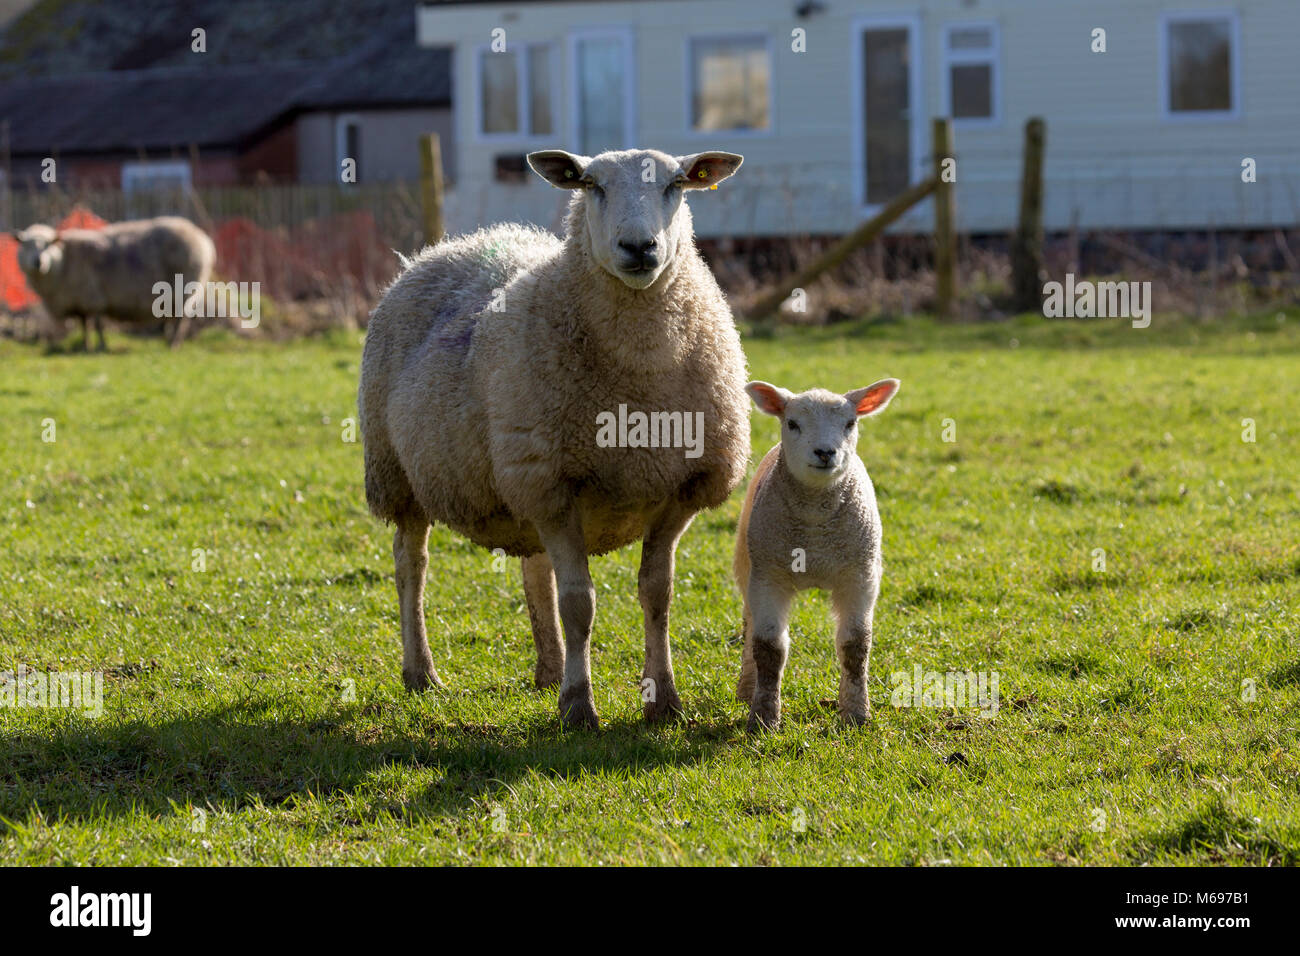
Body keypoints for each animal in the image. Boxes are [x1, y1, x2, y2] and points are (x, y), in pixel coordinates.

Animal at [11, 216, 216, 350]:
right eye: (26, 245)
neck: (63, 260)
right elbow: (84, 325)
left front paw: (100, 346)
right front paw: (86, 345)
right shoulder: (81, 302)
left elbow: (97, 325)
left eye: (48, 245)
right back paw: (168, 339)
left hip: (186, 288)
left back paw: (173, 343)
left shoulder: (93, 297)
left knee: (182, 319)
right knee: (172, 317)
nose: (38, 262)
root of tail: (202, 237)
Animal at [359, 147, 750, 728]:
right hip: (401, 474)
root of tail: (448, 247)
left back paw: (547, 667)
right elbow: (579, 604)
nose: (640, 247)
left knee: (535, 569)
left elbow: (656, 594)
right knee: (412, 565)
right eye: (591, 185)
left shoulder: (677, 490)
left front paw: (664, 699)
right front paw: (579, 705)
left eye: (677, 184)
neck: (638, 377)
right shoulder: (554, 484)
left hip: (522, 481)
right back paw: (421, 672)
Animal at [734, 377, 900, 730]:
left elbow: (855, 646)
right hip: (747, 563)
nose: (825, 452)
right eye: (792, 423)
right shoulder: (769, 576)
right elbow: (769, 648)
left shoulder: (860, 575)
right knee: (749, 624)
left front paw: (856, 714)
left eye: (850, 423)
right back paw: (747, 688)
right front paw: (763, 718)